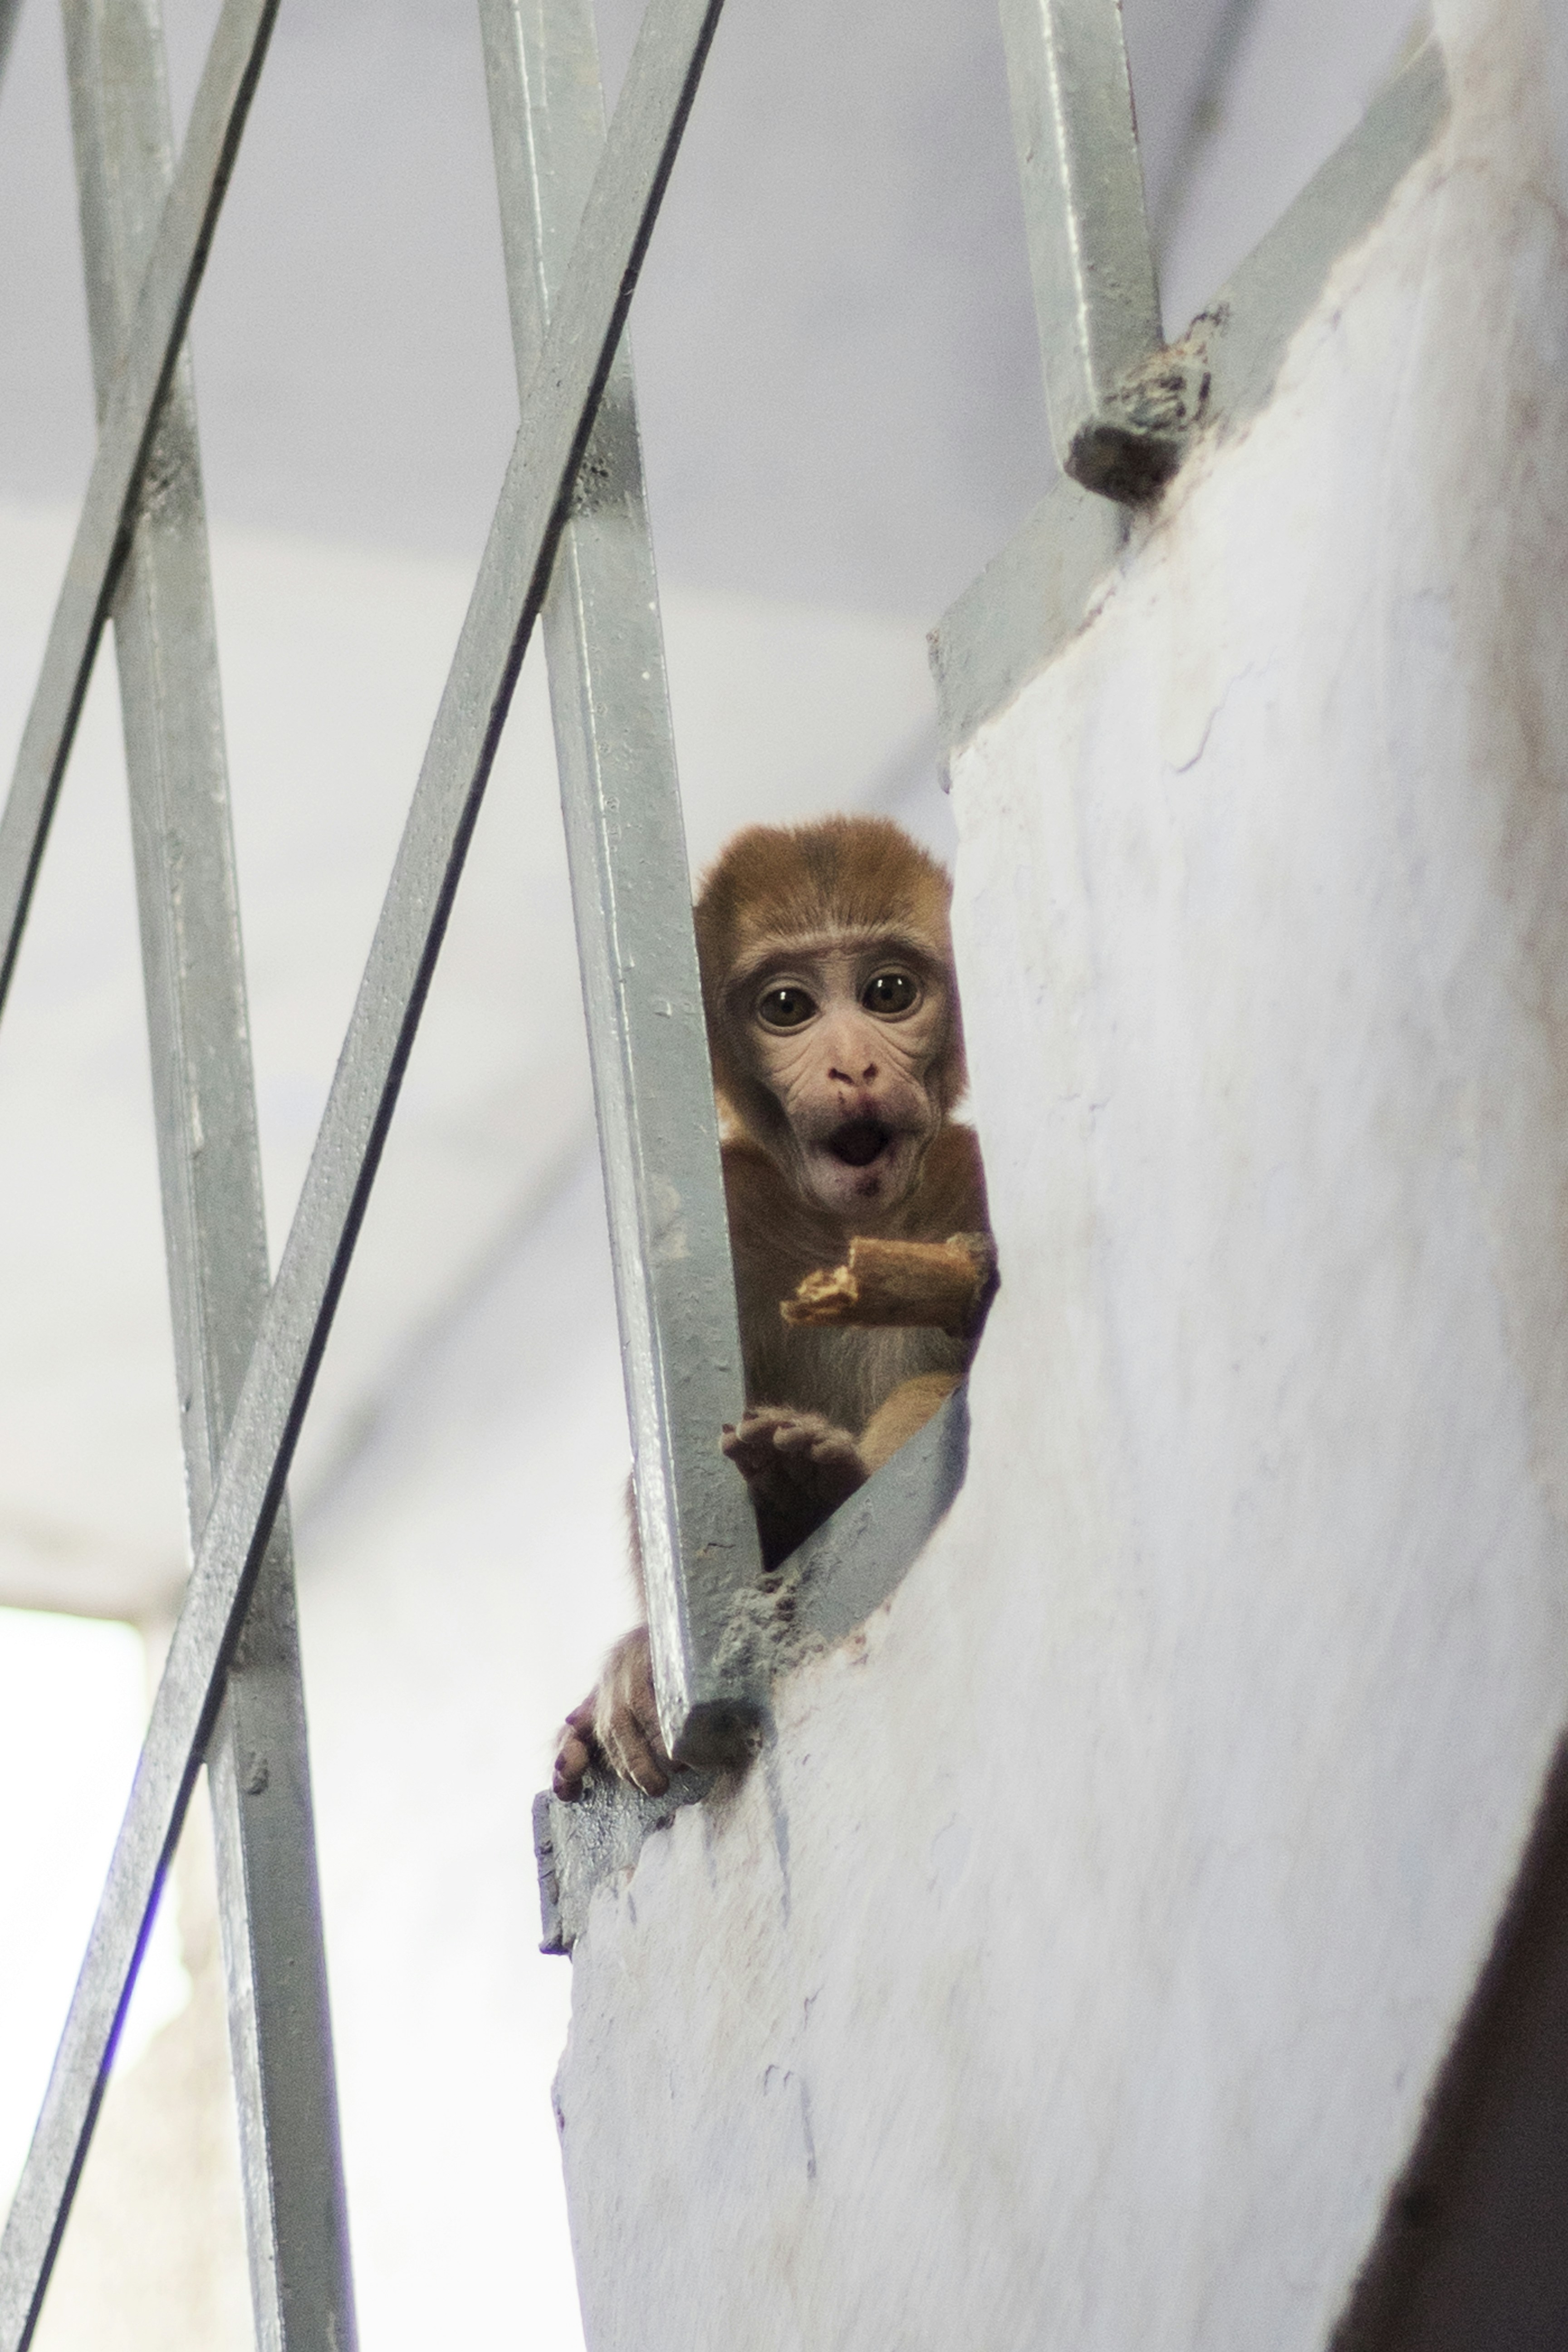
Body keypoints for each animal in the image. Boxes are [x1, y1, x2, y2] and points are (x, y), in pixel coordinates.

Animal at [552, 814, 990, 1801]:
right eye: (787, 1007)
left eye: (889, 992)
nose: (854, 1065)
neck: (846, 1228)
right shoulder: (729, 1212)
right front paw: (641, 1668)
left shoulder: (969, 1182)